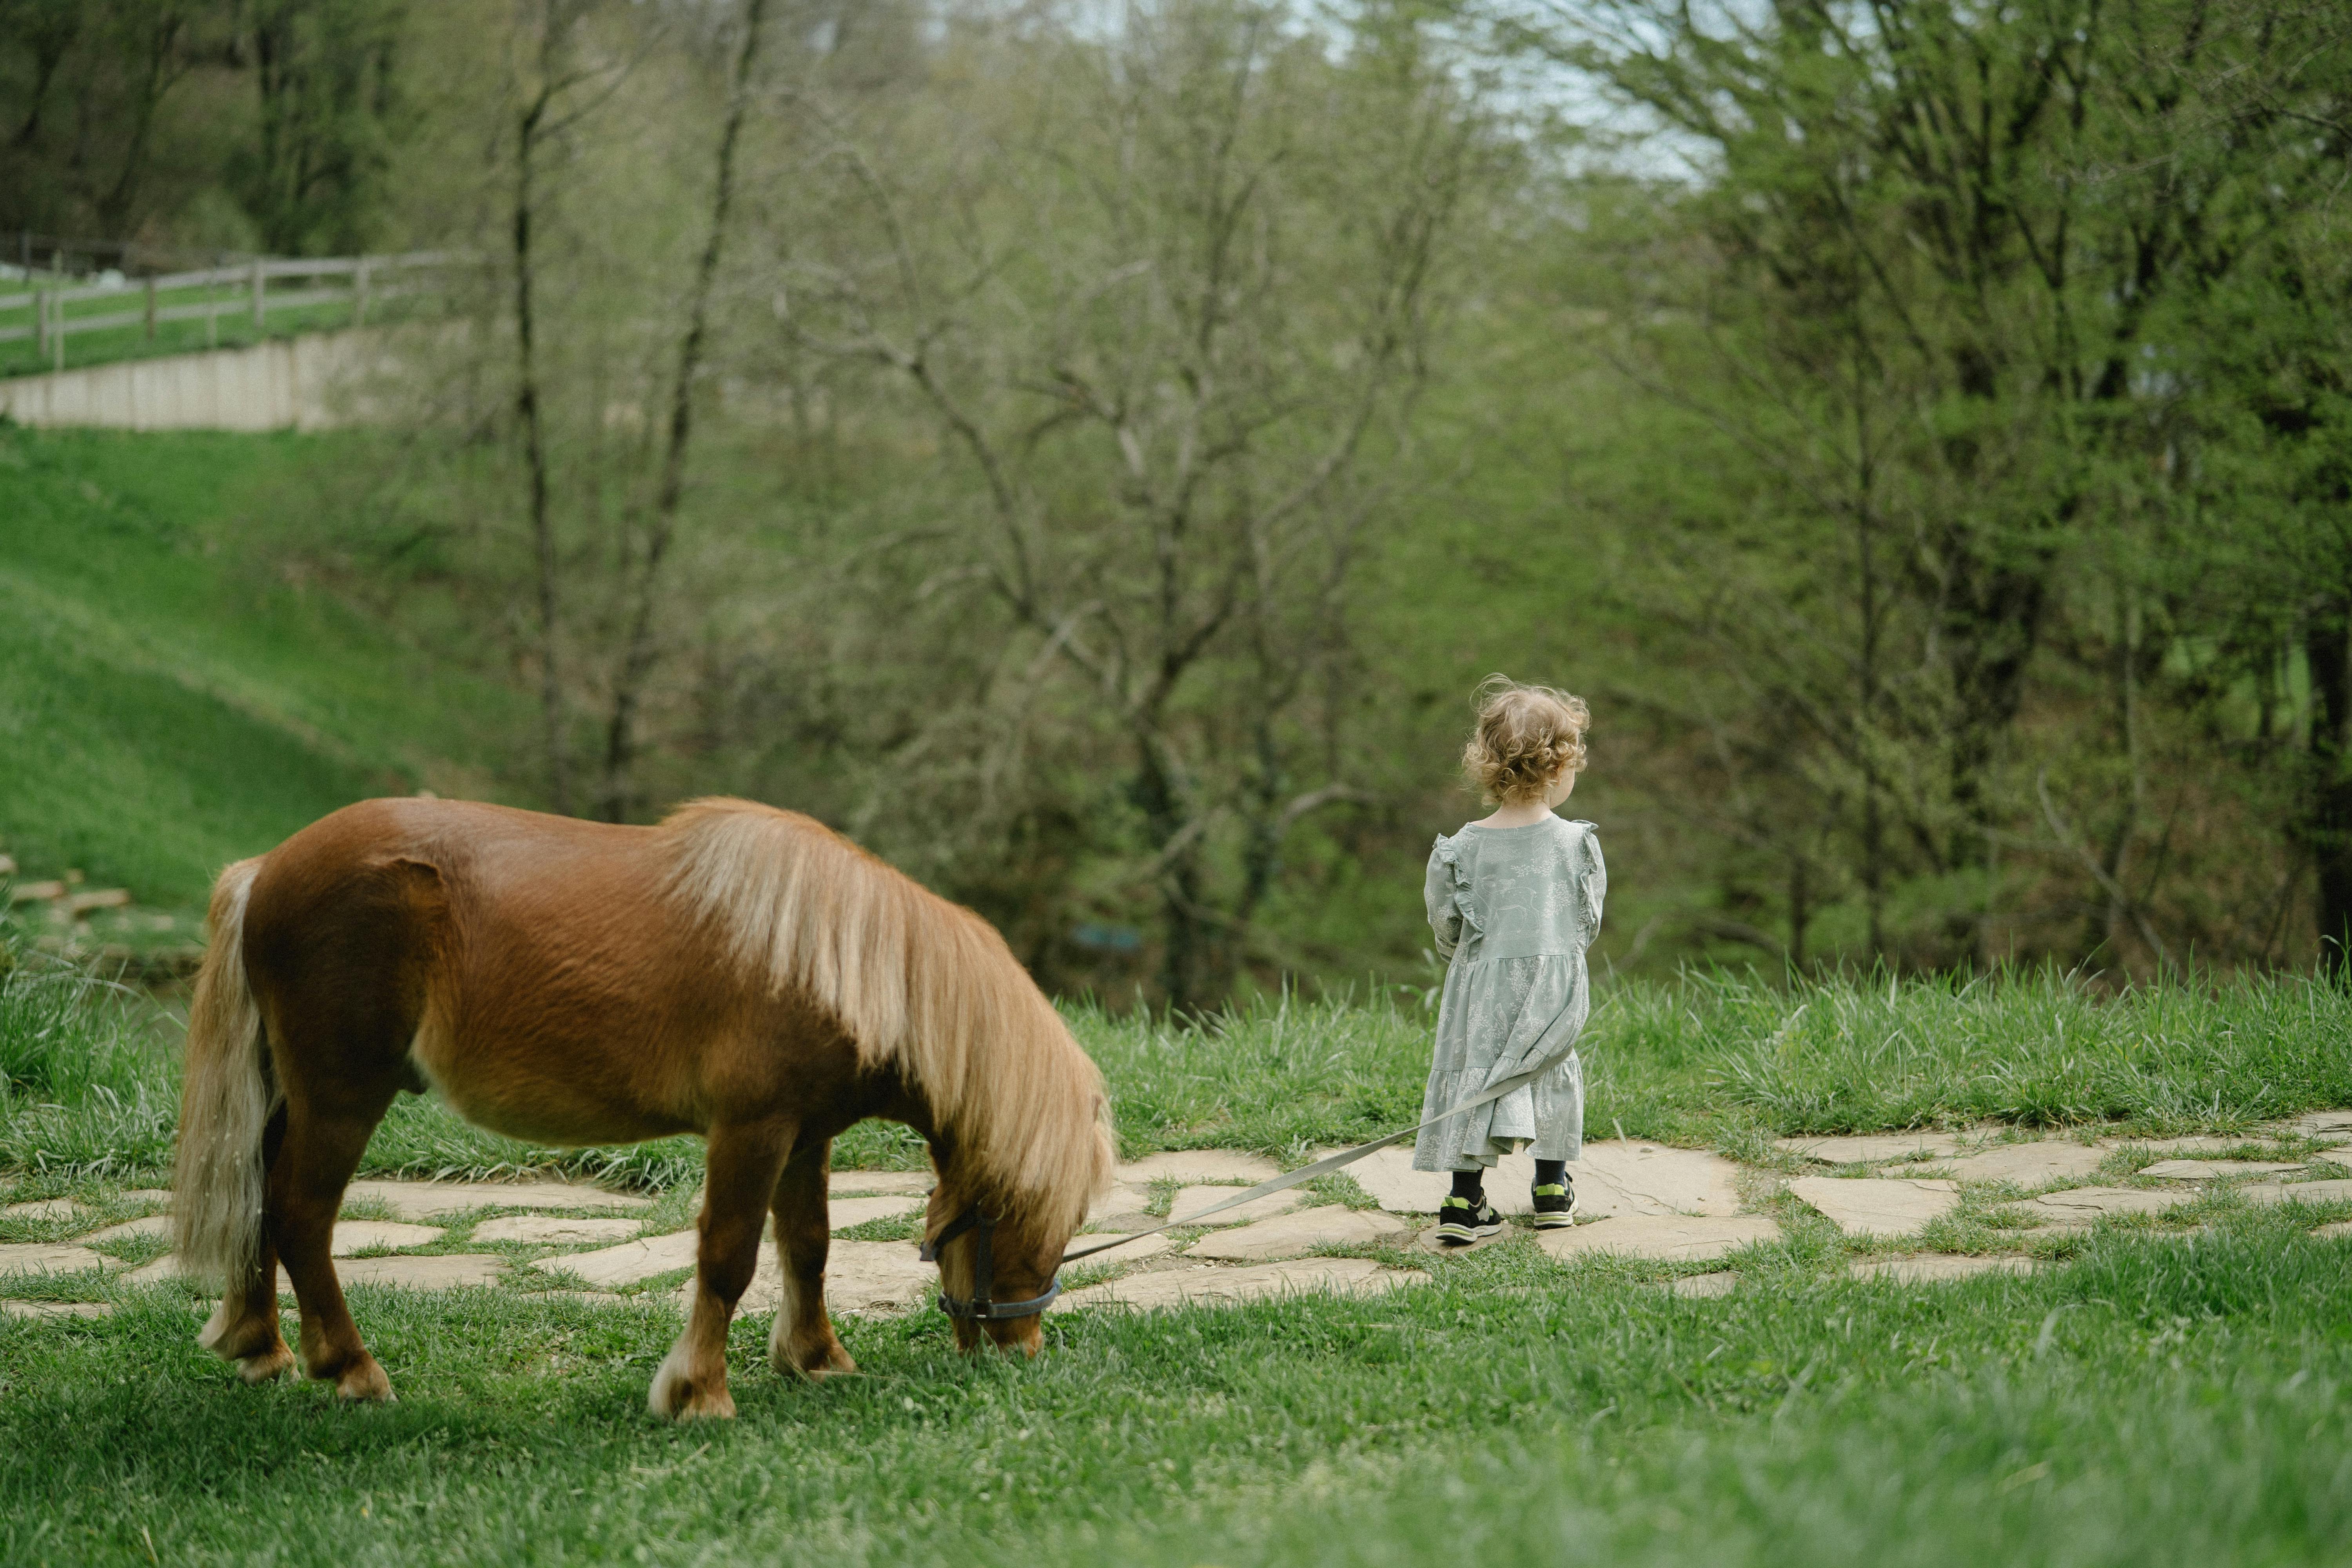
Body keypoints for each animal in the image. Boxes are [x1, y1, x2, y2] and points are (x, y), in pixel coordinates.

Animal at [172, 796, 1115, 1418]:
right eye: (1040, 1217)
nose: (1021, 1345)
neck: (833, 955)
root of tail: (266, 872)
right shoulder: (752, 1131)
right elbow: (729, 1258)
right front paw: (699, 1391)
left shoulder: (804, 1137)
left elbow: (808, 1247)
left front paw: (815, 1357)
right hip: (341, 1100)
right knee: (300, 1215)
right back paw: (351, 1368)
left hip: (293, 1099)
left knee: (257, 1199)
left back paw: (262, 1344)